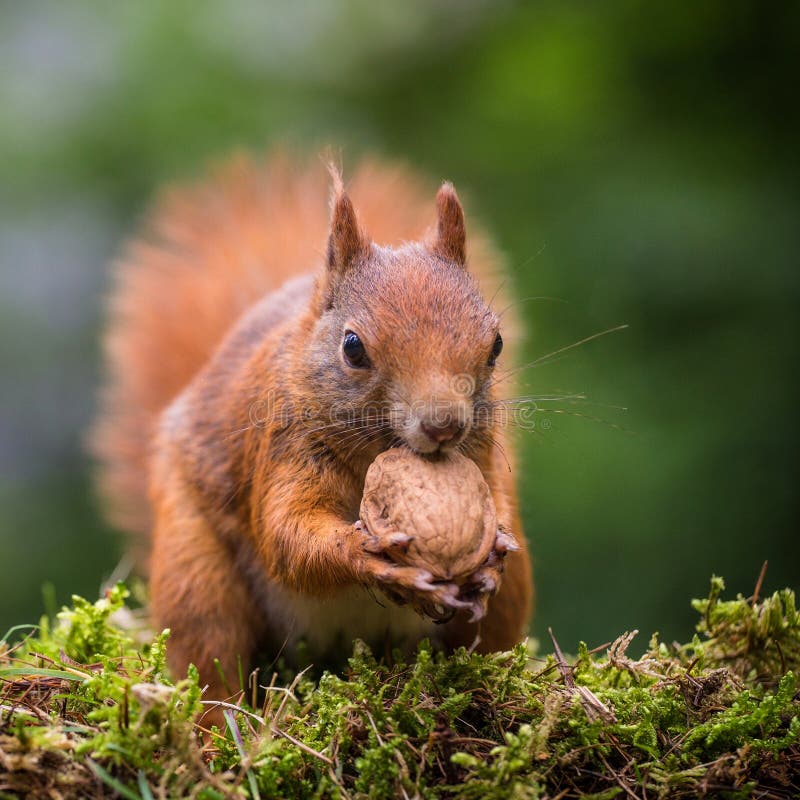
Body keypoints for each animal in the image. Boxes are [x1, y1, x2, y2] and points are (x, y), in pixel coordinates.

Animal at [91, 151, 533, 721]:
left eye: (496, 343)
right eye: (353, 347)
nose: (443, 425)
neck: (380, 453)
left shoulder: (481, 453)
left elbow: (495, 499)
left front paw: (494, 547)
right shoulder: (283, 445)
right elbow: (287, 536)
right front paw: (372, 558)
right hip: (197, 571)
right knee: (211, 658)